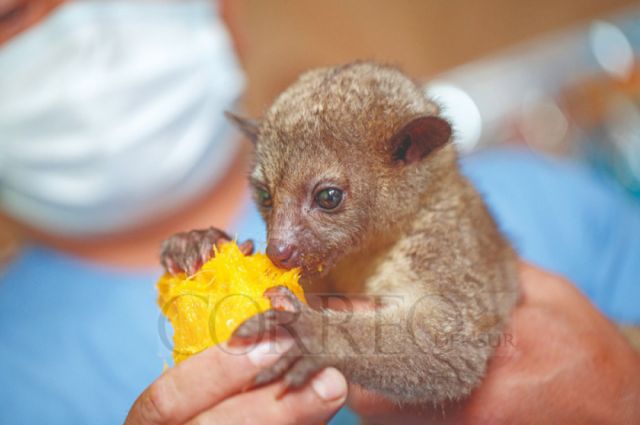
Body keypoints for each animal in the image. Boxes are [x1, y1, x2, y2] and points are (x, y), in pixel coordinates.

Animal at [160, 61, 520, 404]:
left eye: (328, 198)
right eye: (264, 196)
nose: (278, 251)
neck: (363, 254)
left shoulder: (446, 240)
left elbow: (454, 346)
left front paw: (313, 335)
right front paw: (197, 241)